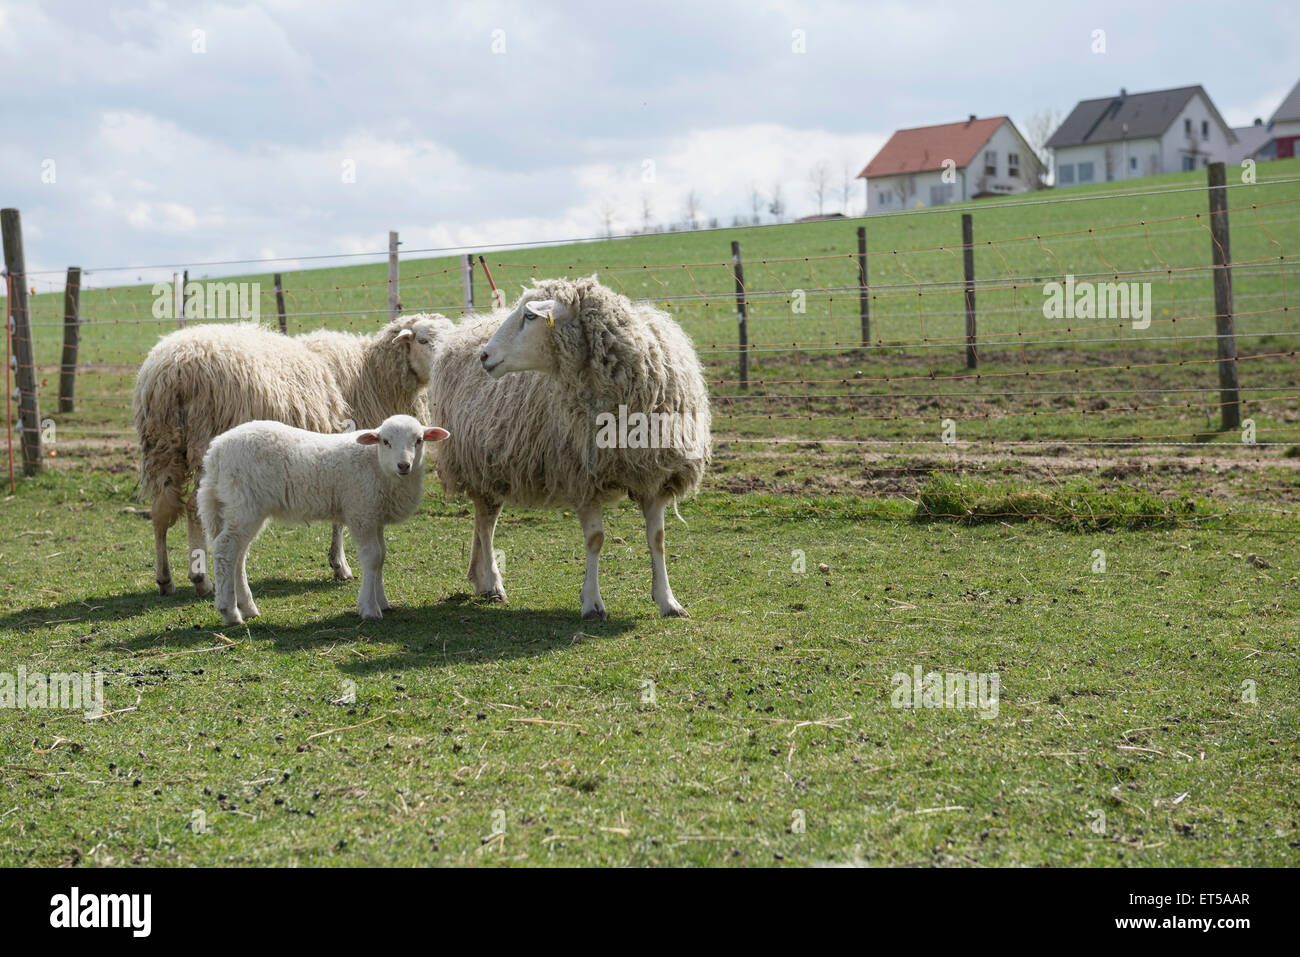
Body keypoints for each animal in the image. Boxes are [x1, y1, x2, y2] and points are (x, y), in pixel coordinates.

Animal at [132, 313, 453, 599]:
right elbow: (339, 519)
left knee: (160, 509)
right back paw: (201, 579)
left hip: (162, 444)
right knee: (191, 509)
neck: (371, 373)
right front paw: (340, 566)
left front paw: (337, 563)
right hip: (205, 443)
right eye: (422, 340)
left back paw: (165, 578)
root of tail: (172, 370)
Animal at [197, 414, 450, 625]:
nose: (404, 465)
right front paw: (369, 608)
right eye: (385, 441)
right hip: (244, 504)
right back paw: (230, 612)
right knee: (226, 549)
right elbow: (372, 557)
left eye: (419, 440)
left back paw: (248, 607)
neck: (378, 465)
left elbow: (381, 557)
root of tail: (215, 451)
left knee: (238, 556)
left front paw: (382, 601)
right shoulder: (361, 512)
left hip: (236, 507)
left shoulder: (375, 515)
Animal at [428, 275, 711, 619]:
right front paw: (592, 602)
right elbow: (596, 540)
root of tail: (464, 328)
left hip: (490, 464)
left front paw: (668, 601)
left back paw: (479, 579)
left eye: (530, 316)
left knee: (486, 521)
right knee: (486, 524)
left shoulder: (654, 475)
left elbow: (657, 539)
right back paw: (493, 583)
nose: (484, 356)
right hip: (476, 463)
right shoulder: (582, 475)